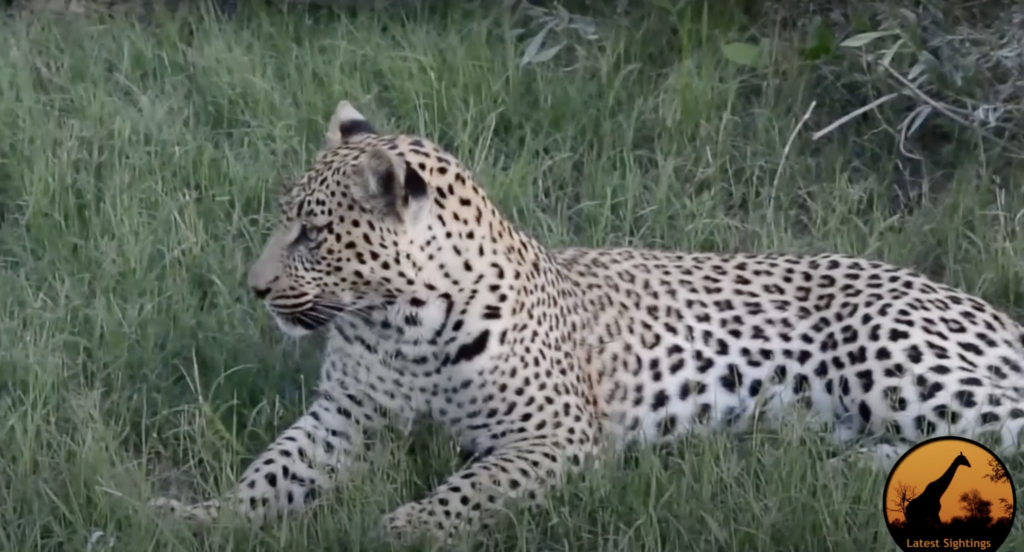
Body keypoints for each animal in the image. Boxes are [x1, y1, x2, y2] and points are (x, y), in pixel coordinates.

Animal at [150, 99, 1024, 543]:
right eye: (287, 224)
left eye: (312, 233)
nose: (254, 288)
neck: (398, 324)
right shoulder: (345, 417)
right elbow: (270, 474)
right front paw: (199, 517)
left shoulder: (556, 434)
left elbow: (472, 489)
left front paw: (405, 525)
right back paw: (847, 469)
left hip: (899, 365)